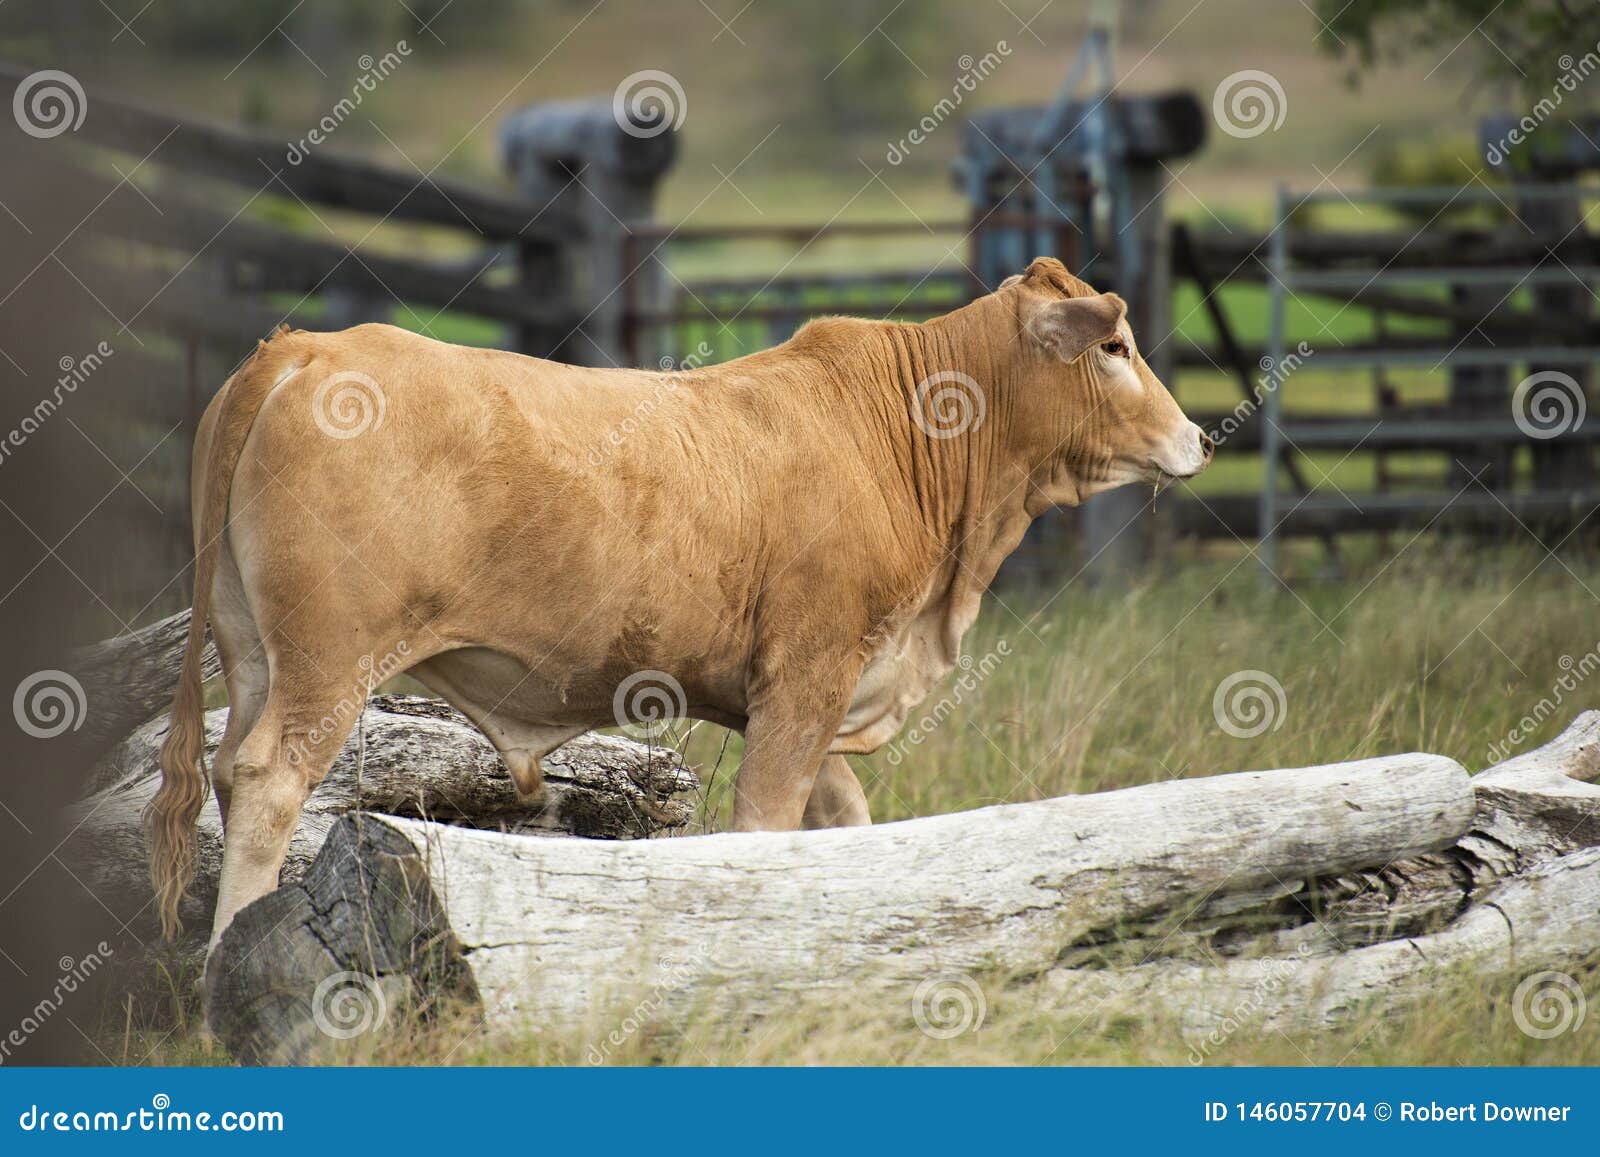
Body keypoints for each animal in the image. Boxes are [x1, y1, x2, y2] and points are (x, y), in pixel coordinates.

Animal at [148, 256, 1212, 951]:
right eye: (1116, 345)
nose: (1200, 436)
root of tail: (299, 348)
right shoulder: (805, 680)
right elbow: (767, 830)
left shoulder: (811, 695)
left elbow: (844, 822)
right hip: (327, 664)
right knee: (269, 784)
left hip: (253, 655)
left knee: (229, 772)